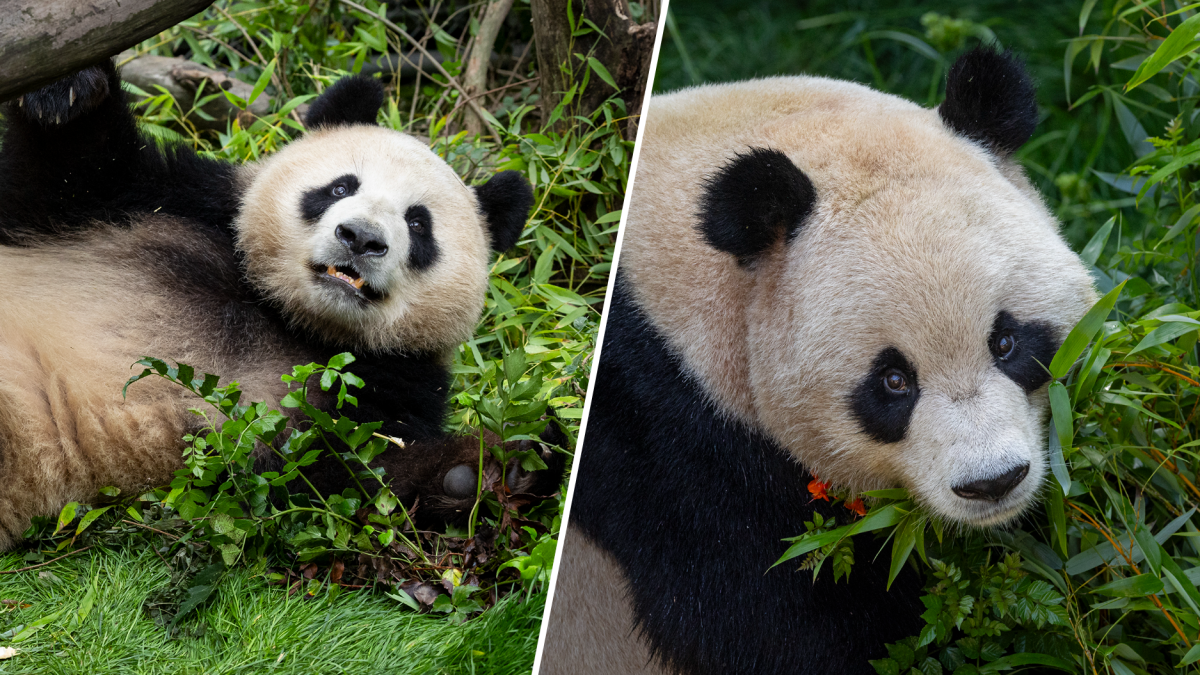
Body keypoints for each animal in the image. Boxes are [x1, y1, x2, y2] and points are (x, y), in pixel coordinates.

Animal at [0, 60, 544, 551]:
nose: (360, 238)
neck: (291, 318)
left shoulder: (388, 379)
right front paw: (67, 89)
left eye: (418, 223)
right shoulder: (166, 205)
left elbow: (339, 478)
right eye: (341, 186)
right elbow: (63, 178)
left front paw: (491, 471)